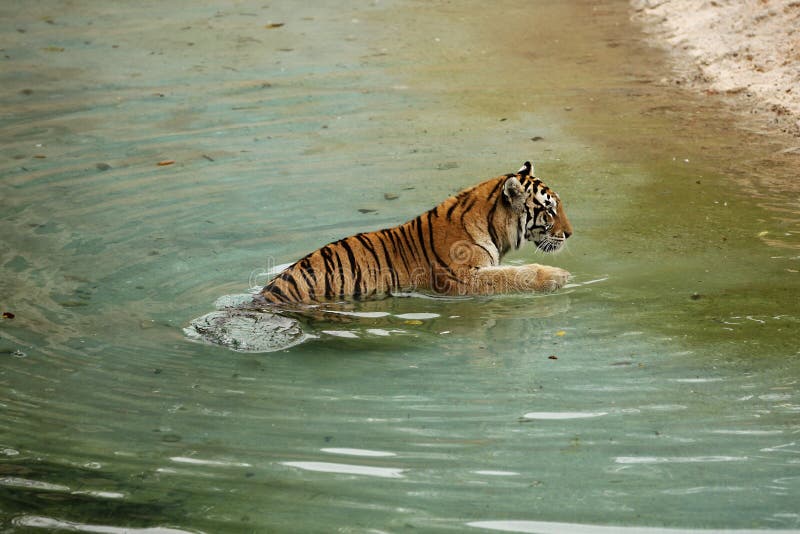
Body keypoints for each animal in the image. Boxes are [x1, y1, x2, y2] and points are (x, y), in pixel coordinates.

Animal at [258, 161, 572, 305]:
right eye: (549, 209)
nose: (569, 234)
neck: (493, 224)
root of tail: (264, 296)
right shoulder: (460, 279)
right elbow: (510, 276)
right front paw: (558, 276)